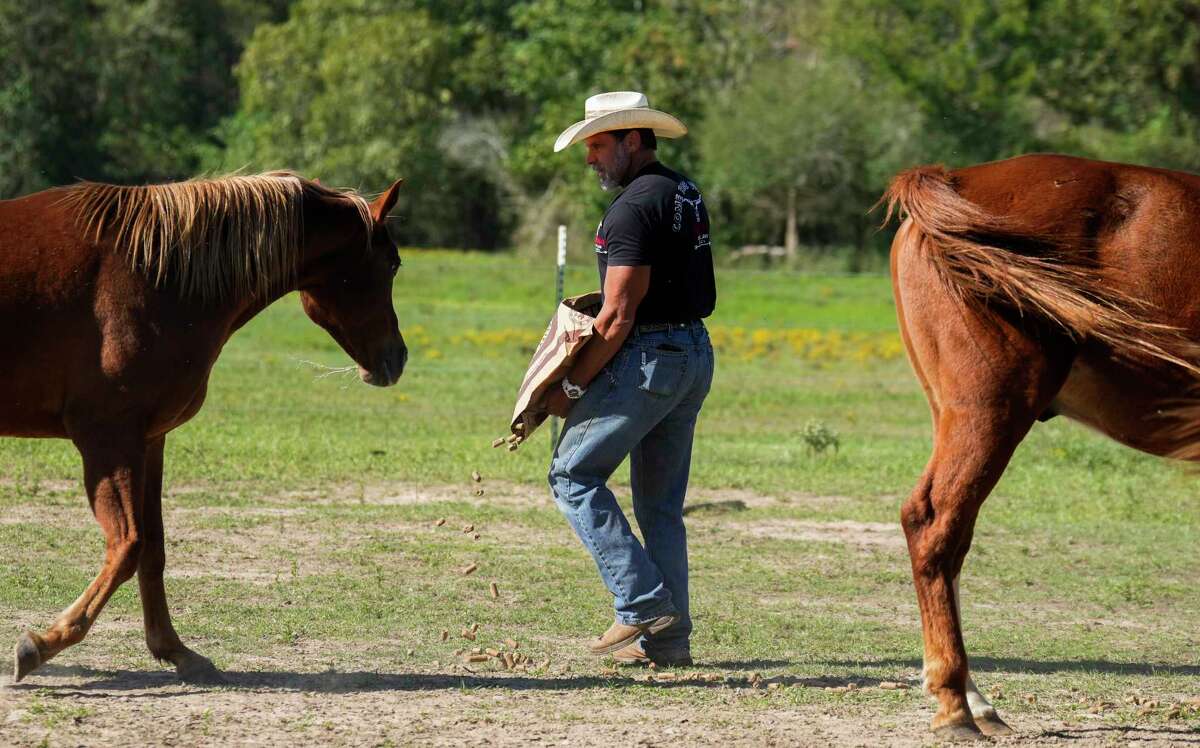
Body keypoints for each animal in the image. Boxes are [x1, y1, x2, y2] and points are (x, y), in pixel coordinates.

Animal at [0, 172, 408, 684]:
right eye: (392, 264)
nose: (399, 357)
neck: (152, 273)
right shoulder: (109, 440)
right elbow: (128, 546)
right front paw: (41, 643)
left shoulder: (149, 440)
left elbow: (152, 550)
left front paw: (175, 650)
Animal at [882, 153, 1200, 739]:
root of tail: (952, 178)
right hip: (990, 412)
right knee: (934, 523)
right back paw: (954, 702)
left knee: (953, 541)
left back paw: (976, 700)